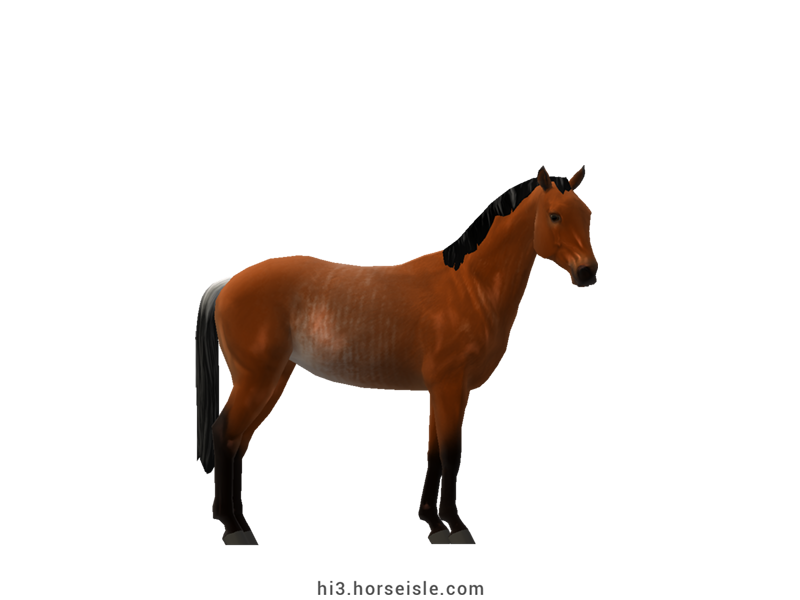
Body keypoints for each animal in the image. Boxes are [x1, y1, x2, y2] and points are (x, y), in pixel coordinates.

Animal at [195, 166, 597, 543]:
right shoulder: (450, 385)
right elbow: (451, 453)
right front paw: (456, 526)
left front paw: (433, 523)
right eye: (555, 215)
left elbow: (436, 453)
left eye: (583, 212)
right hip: (254, 380)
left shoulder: (442, 388)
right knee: (224, 436)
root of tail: (228, 285)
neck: (473, 287)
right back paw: (232, 528)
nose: (587, 271)